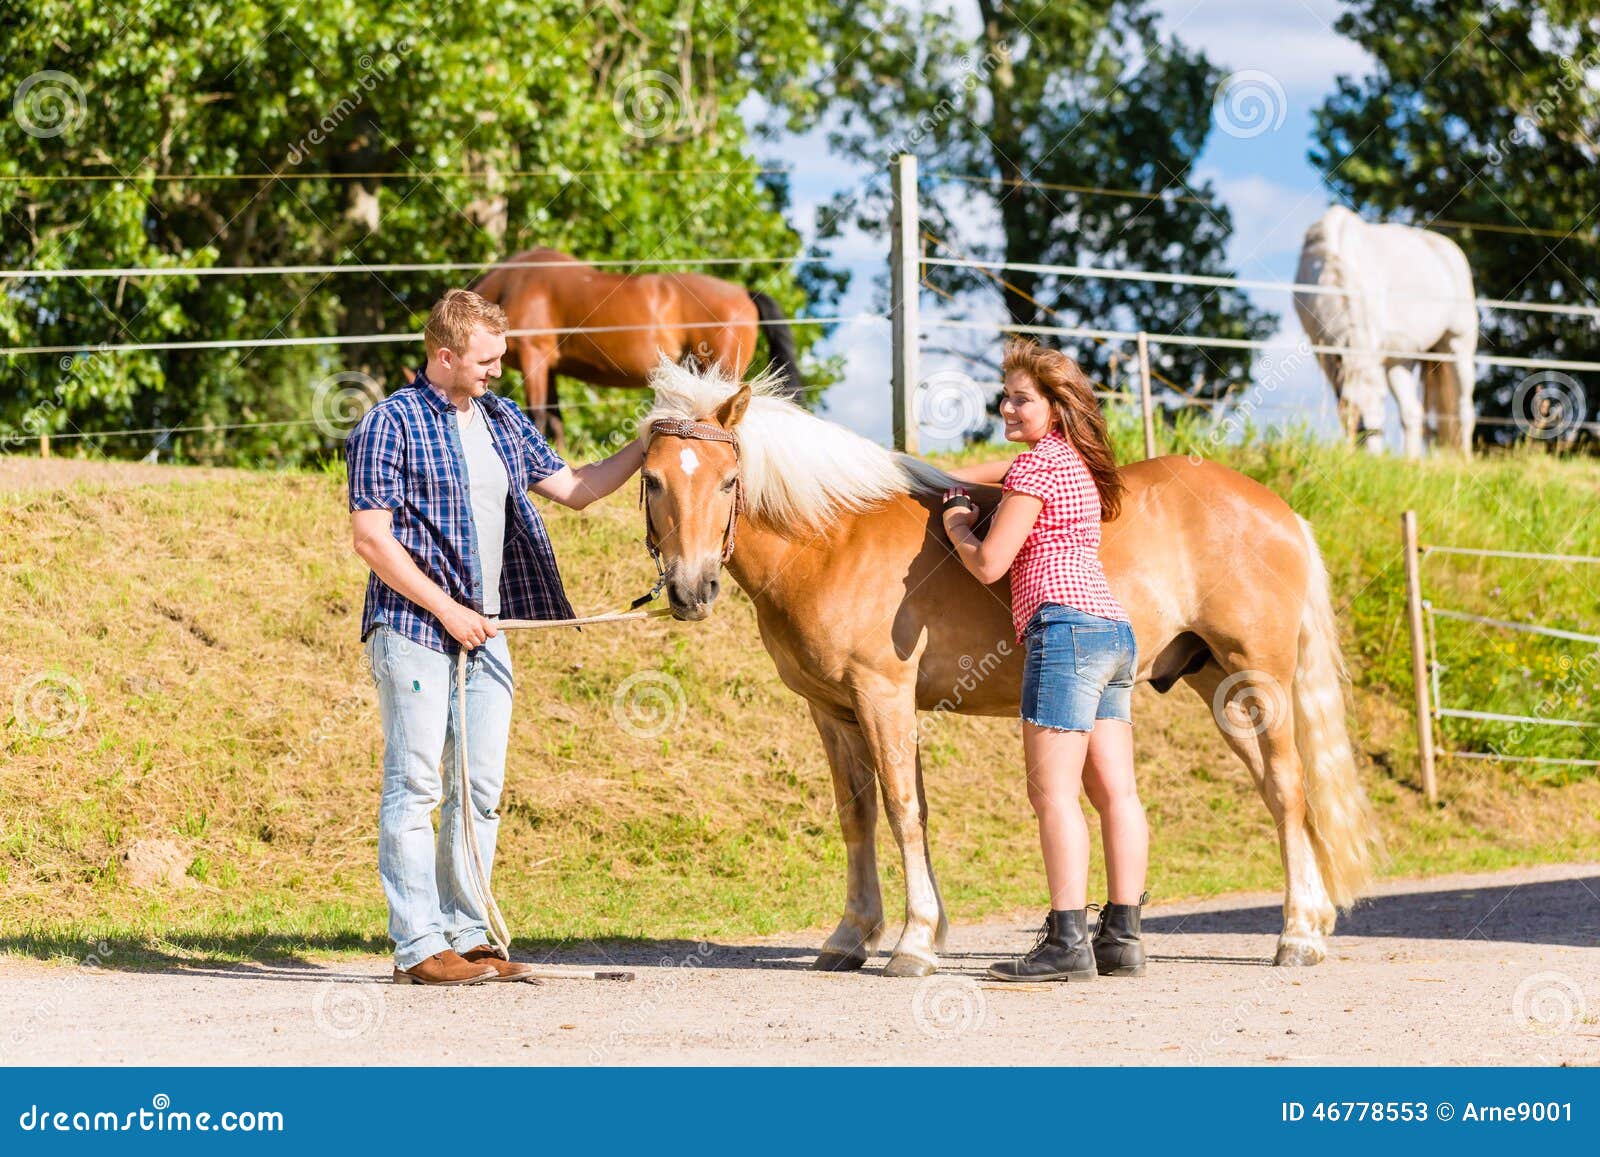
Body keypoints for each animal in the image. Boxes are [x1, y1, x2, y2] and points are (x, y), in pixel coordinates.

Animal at [470, 247, 804, 444]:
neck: (513, 284)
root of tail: (745, 294)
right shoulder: (548, 367)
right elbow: (555, 419)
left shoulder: (534, 358)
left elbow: (539, 415)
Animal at [633, 359, 1382, 977]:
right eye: (653, 479)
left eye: (729, 480)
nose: (690, 590)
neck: (832, 537)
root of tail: (1279, 510)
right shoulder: (834, 709)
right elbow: (861, 815)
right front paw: (854, 936)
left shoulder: (883, 696)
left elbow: (903, 810)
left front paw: (913, 942)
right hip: (1217, 687)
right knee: (1278, 794)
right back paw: (1309, 920)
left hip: (1258, 677)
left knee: (1287, 787)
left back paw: (1297, 936)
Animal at [1294, 205, 1478, 458]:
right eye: (1350, 402)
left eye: (1381, 399)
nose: (1372, 456)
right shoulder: (1324, 352)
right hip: (1400, 359)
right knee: (1412, 411)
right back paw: (1411, 460)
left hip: (1458, 347)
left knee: (1463, 410)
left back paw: (1466, 459)